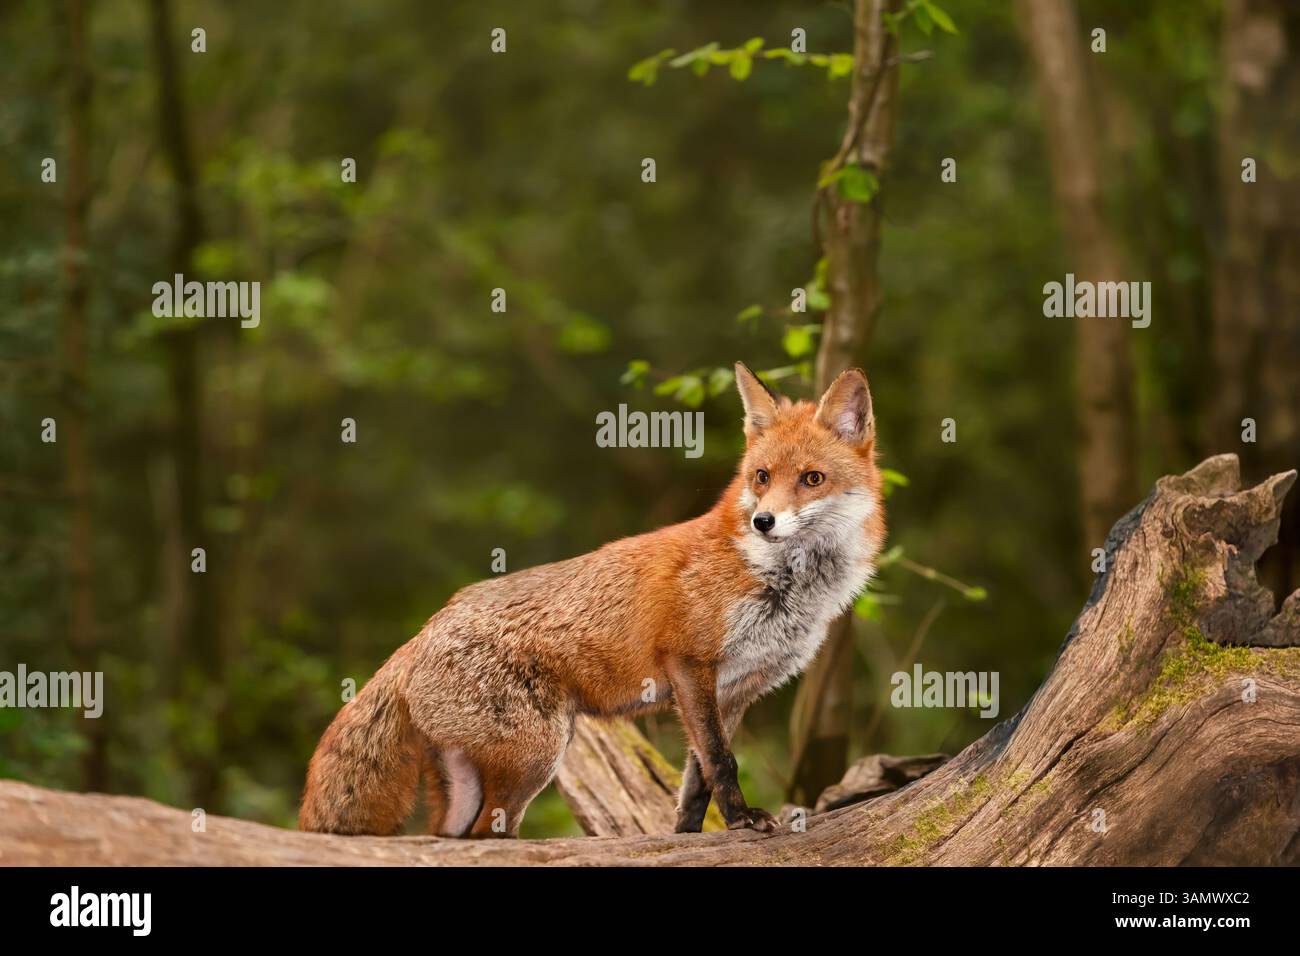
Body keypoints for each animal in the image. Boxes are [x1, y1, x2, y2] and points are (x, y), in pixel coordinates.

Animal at [299, 362, 885, 838]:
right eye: (761, 477)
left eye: (812, 479)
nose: (764, 521)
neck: (779, 582)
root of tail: (421, 633)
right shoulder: (689, 662)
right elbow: (723, 762)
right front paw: (741, 820)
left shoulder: (735, 690)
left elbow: (697, 779)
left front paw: (688, 837)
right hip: (536, 756)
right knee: (487, 838)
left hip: (478, 781)